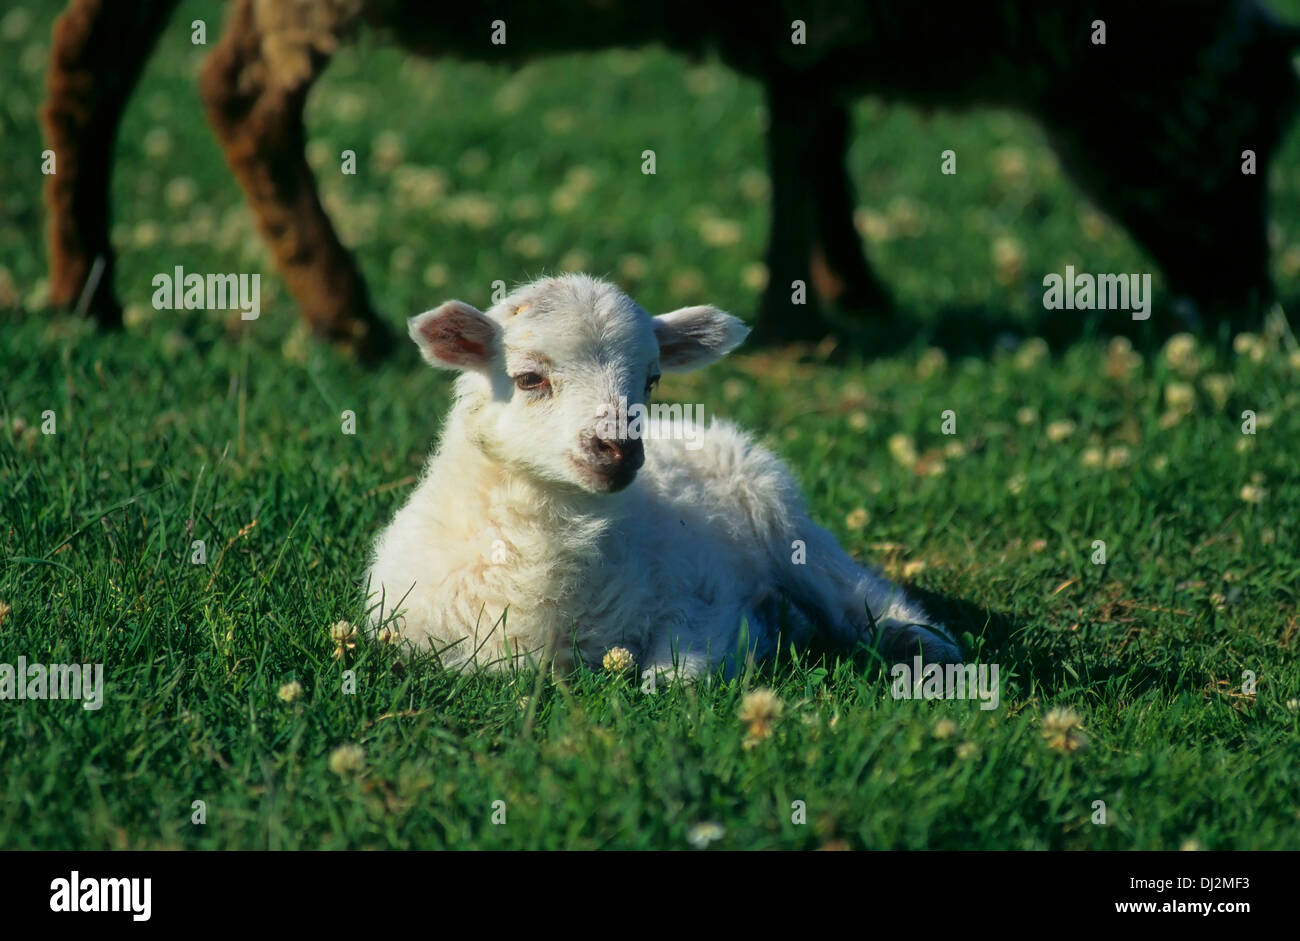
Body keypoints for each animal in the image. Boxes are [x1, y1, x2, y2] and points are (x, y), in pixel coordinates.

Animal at [365, 274, 961, 680]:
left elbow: (675, 676)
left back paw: (919, 641)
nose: (619, 448)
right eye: (528, 378)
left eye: (651, 380)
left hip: (780, 514)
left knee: (849, 588)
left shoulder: (703, 594)